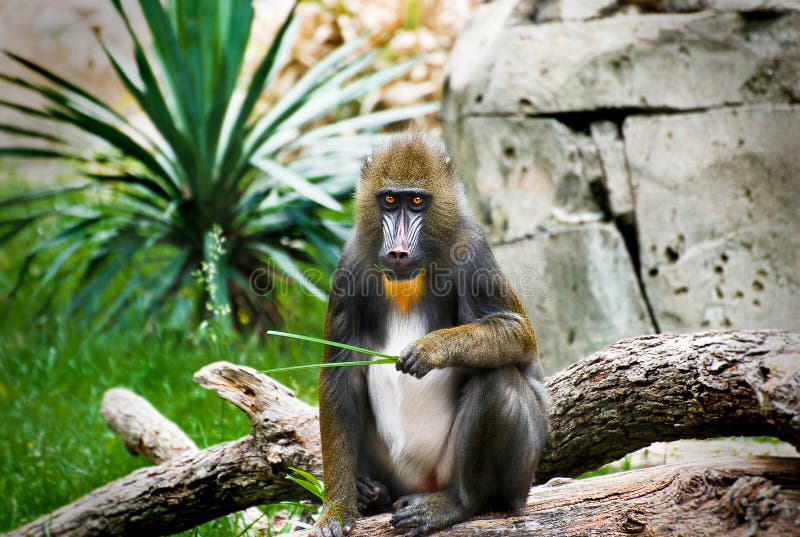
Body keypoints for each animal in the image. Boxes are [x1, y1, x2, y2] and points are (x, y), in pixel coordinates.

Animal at [312, 133, 550, 537]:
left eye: (418, 202)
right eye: (390, 201)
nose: (397, 251)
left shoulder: (473, 252)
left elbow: (518, 334)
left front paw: (429, 349)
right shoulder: (349, 265)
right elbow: (340, 375)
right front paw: (337, 510)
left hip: (502, 478)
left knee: (498, 380)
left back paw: (456, 503)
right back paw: (372, 494)